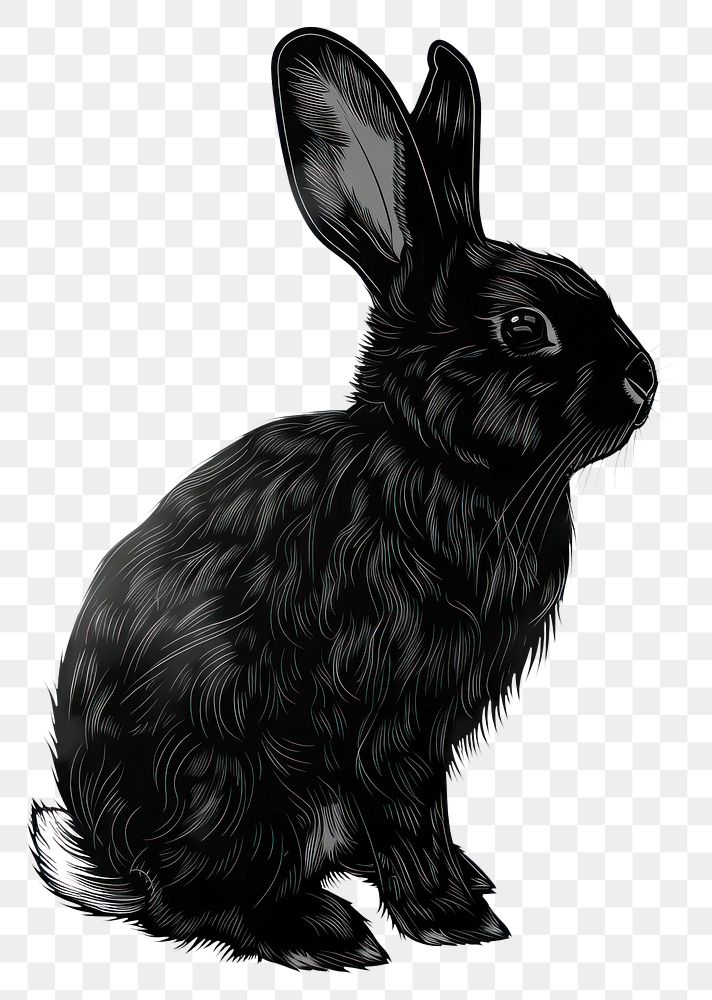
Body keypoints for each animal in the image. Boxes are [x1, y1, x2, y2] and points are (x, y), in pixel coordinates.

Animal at [30, 28, 657, 971]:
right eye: (523, 327)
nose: (645, 380)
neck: (437, 458)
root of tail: (115, 861)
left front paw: (459, 891)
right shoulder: (391, 716)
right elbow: (408, 809)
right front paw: (452, 921)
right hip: (242, 781)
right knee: (199, 905)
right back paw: (325, 931)